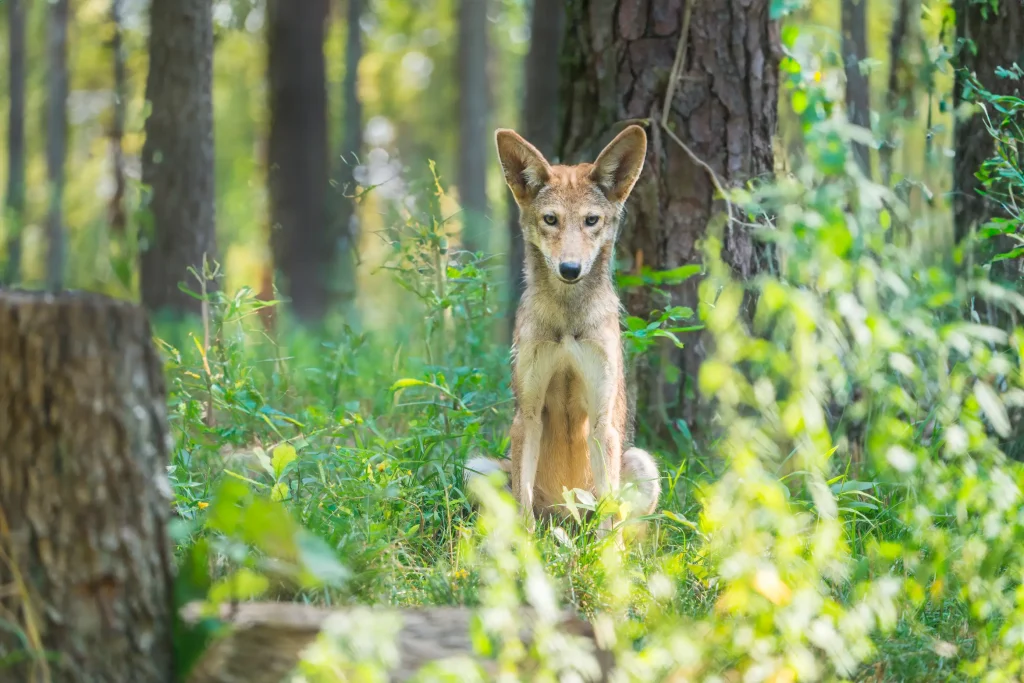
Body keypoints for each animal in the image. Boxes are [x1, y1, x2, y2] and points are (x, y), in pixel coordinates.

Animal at [465, 124, 661, 534]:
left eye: (591, 221)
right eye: (551, 220)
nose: (570, 269)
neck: (568, 321)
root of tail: (565, 516)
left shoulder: (603, 419)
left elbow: (610, 515)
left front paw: (608, 554)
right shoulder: (528, 415)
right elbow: (523, 509)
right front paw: (525, 549)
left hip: (642, 463)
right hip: (479, 468)